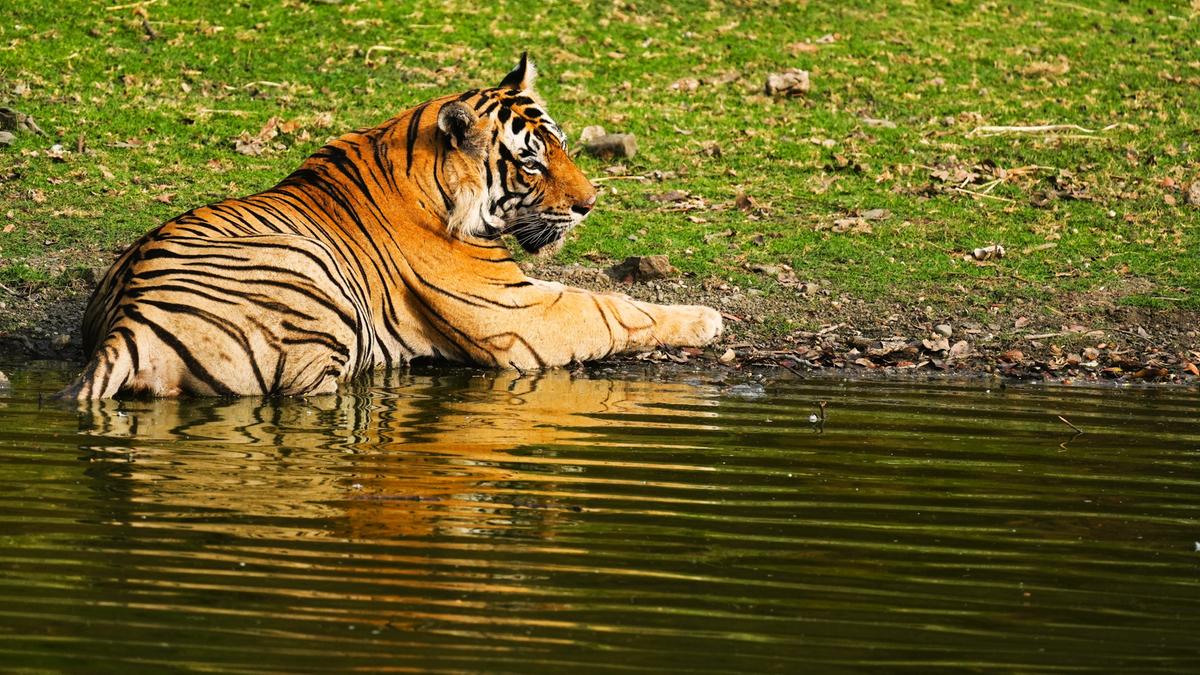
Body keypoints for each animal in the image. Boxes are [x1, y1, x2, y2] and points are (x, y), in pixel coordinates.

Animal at [58, 54, 722, 399]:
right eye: (532, 162)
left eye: (561, 146)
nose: (589, 204)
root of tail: (126, 325)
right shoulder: (520, 316)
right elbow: (615, 310)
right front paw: (708, 319)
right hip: (316, 283)